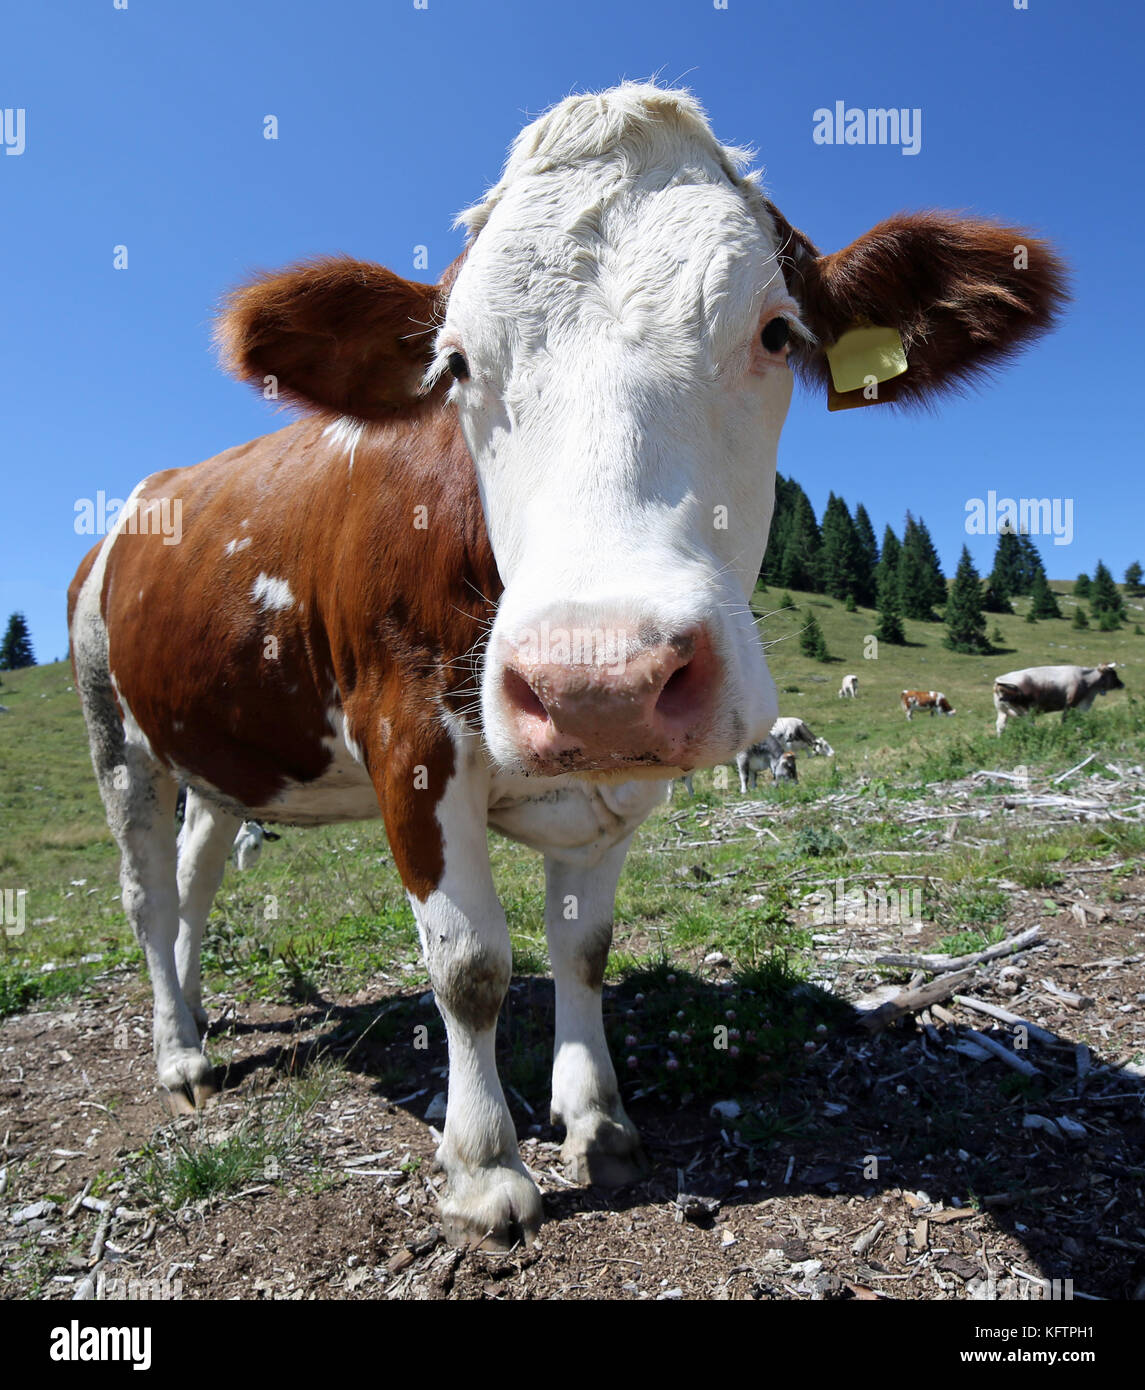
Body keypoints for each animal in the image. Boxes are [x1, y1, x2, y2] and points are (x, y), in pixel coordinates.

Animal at [67, 84, 1064, 1250]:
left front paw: (596, 1118)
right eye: (454, 364)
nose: (599, 677)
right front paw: (483, 1165)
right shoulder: (408, 735)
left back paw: (192, 1009)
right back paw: (177, 1051)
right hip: (115, 731)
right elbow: (470, 966)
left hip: (226, 750)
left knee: (196, 877)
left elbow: (582, 947)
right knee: (145, 889)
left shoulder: (612, 780)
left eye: (777, 333)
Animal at [993, 663, 1124, 735]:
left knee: (1000, 726)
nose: (1122, 684)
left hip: (1002, 711)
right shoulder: (1071, 704)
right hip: (1026, 712)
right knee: (1029, 725)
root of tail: (1000, 680)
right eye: (1113, 674)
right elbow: (1065, 720)